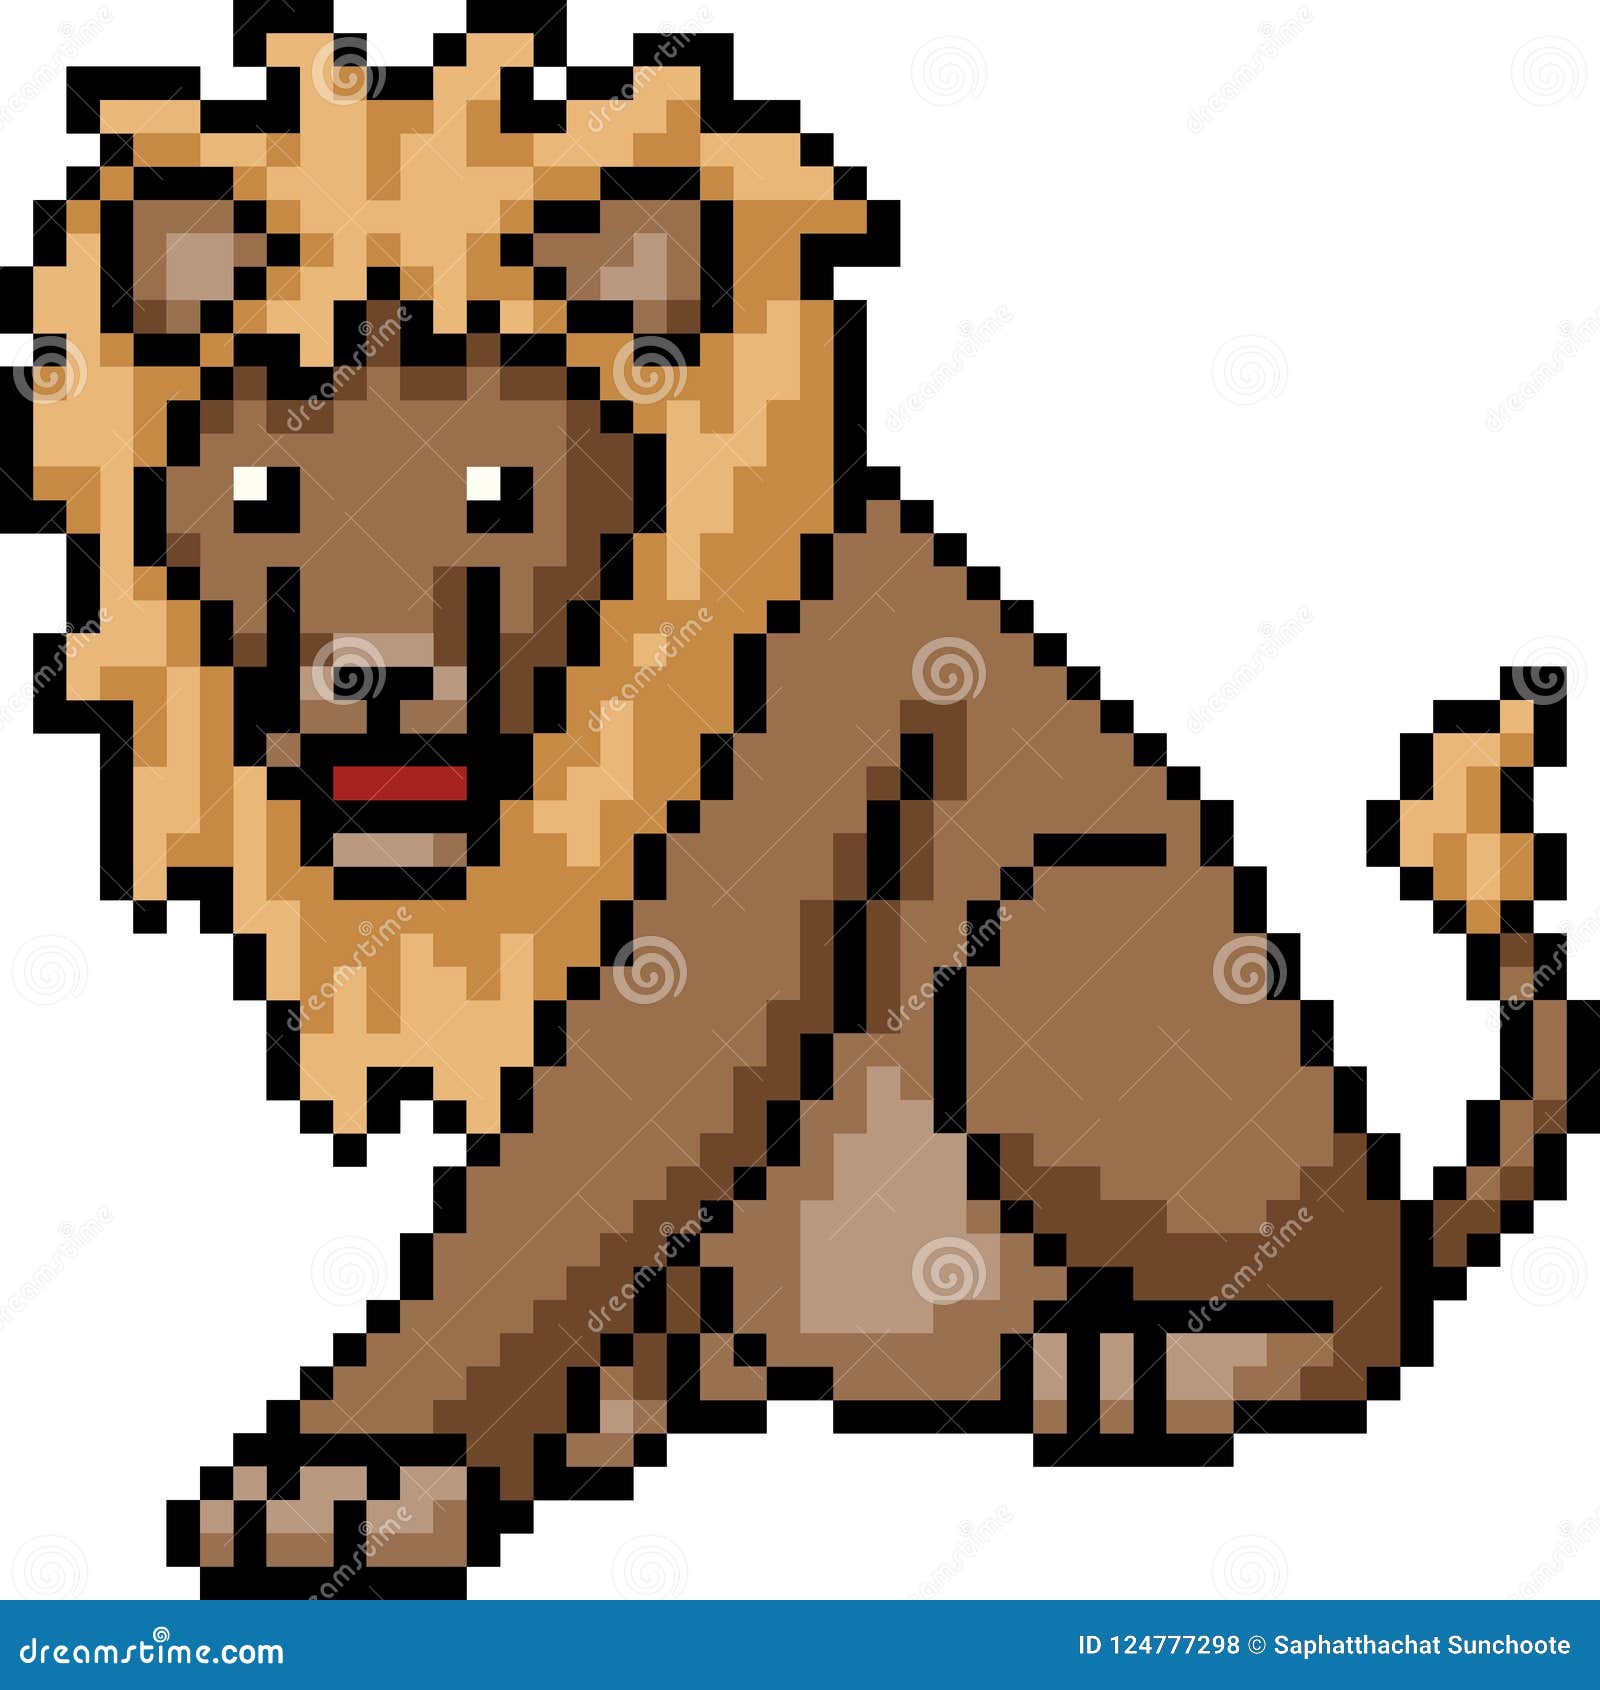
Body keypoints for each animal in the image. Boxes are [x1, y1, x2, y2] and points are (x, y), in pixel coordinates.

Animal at [1, 0, 1593, 1596]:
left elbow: (517, 1231)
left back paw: (1126, 1372)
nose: (376, 681)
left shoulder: (700, 951)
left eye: (500, 491)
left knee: (1343, 1320)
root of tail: (1391, 1200)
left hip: (1072, 920)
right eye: (260, 493)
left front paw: (351, 1480)